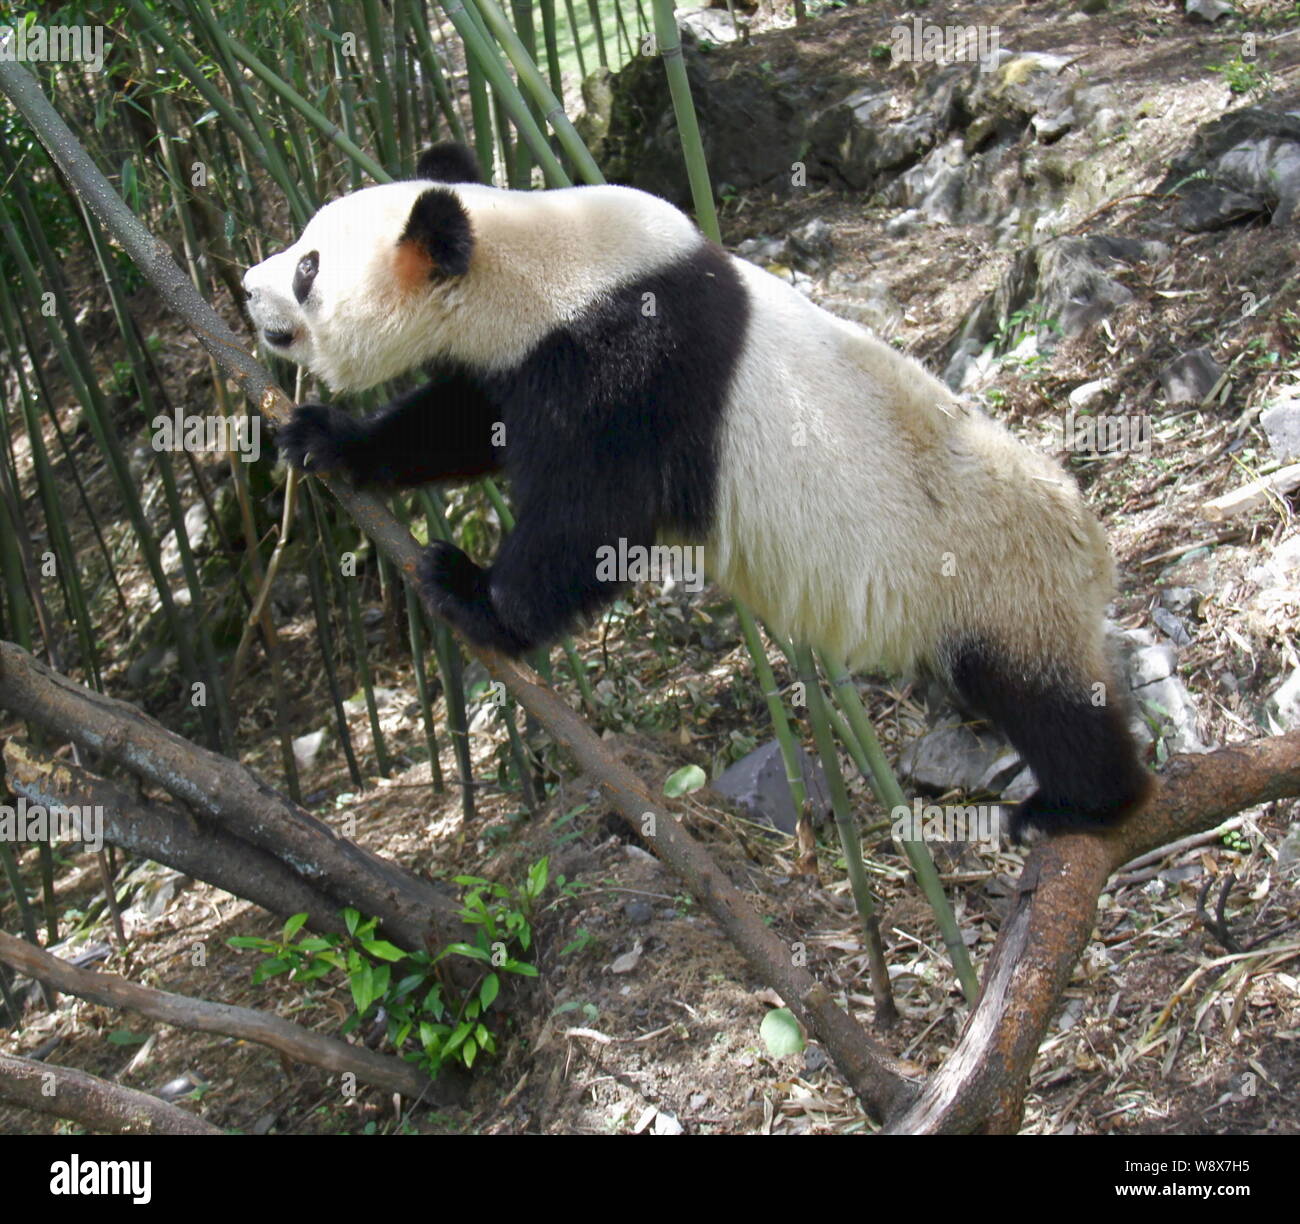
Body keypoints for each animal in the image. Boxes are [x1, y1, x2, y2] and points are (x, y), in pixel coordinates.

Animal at [242, 141, 1153, 840]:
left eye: (309, 267)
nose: (248, 286)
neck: (534, 260)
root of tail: (1097, 552)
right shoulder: (527, 353)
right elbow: (462, 424)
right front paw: (326, 440)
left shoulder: (625, 359)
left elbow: (591, 518)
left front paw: (472, 594)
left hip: (999, 581)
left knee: (1050, 706)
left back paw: (1080, 806)